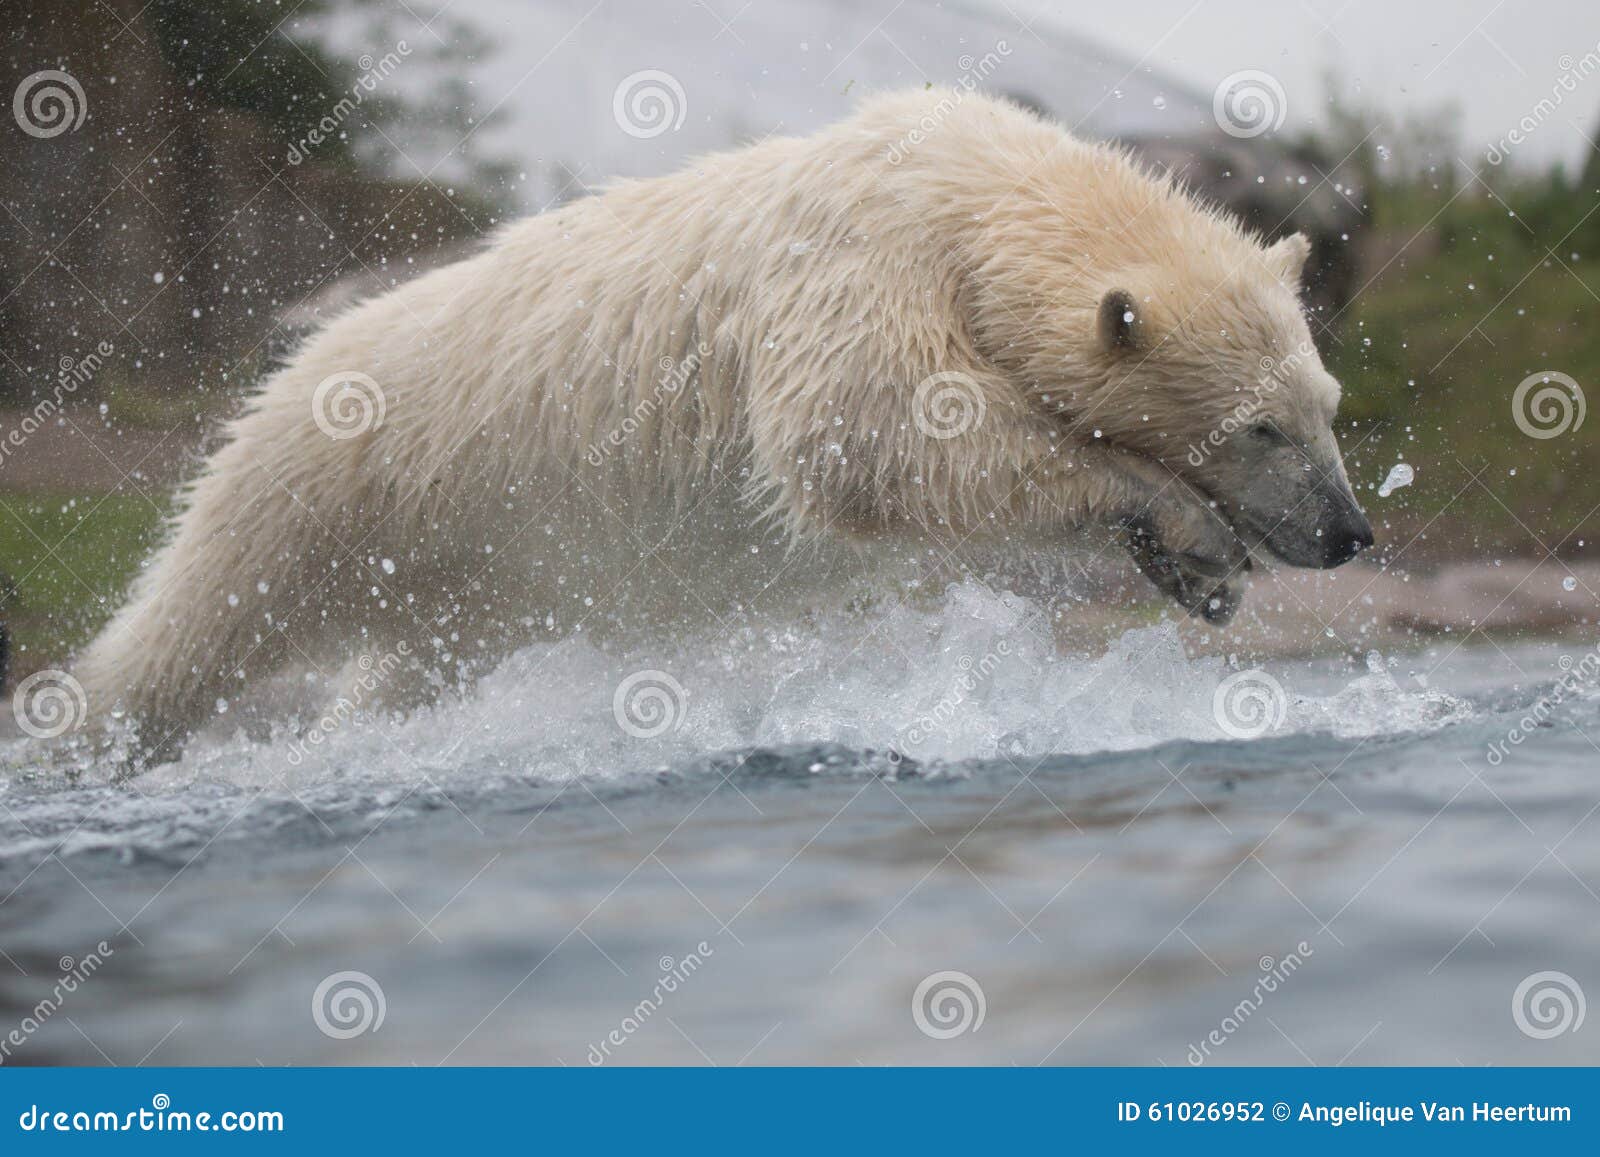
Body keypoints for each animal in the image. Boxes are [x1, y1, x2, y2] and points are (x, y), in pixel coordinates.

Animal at [72, 87, 1371, 764]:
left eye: (1327, 408)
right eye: (1259, 428)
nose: (1347, 532)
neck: (971, 184)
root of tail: (304, 350)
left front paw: (1199, 574)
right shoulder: (862, 261)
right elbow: (869, 436)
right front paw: (1189, 529)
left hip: (479, 571)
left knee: (396, 666)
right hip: (341, 468)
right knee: (200, 615)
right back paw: (85, 734)